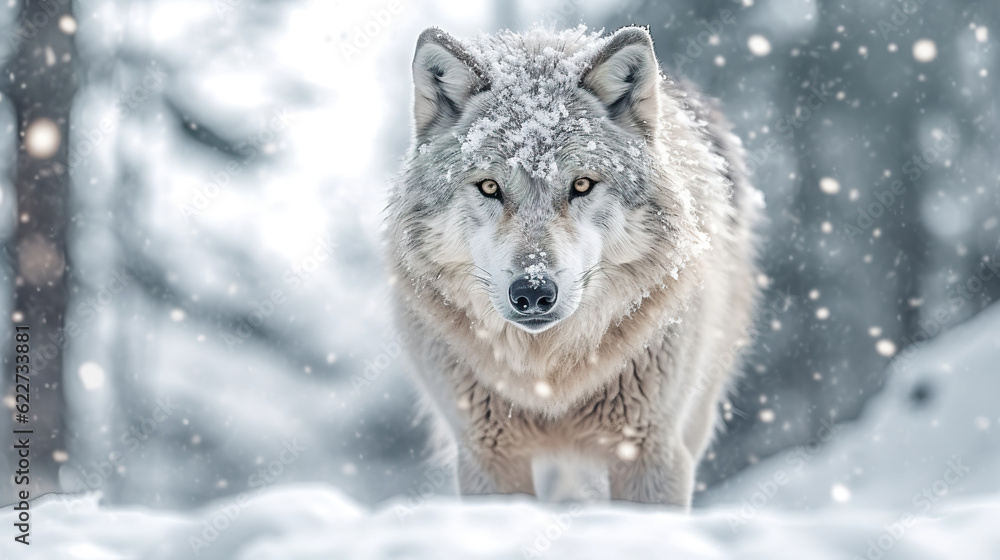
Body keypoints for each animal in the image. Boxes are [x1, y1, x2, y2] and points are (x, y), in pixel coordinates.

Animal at [385, 25, 761, 508]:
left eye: (581, 184)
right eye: (489, 187)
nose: (533, 293)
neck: (550, 375)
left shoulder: (652, 452)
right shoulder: (489, 455)